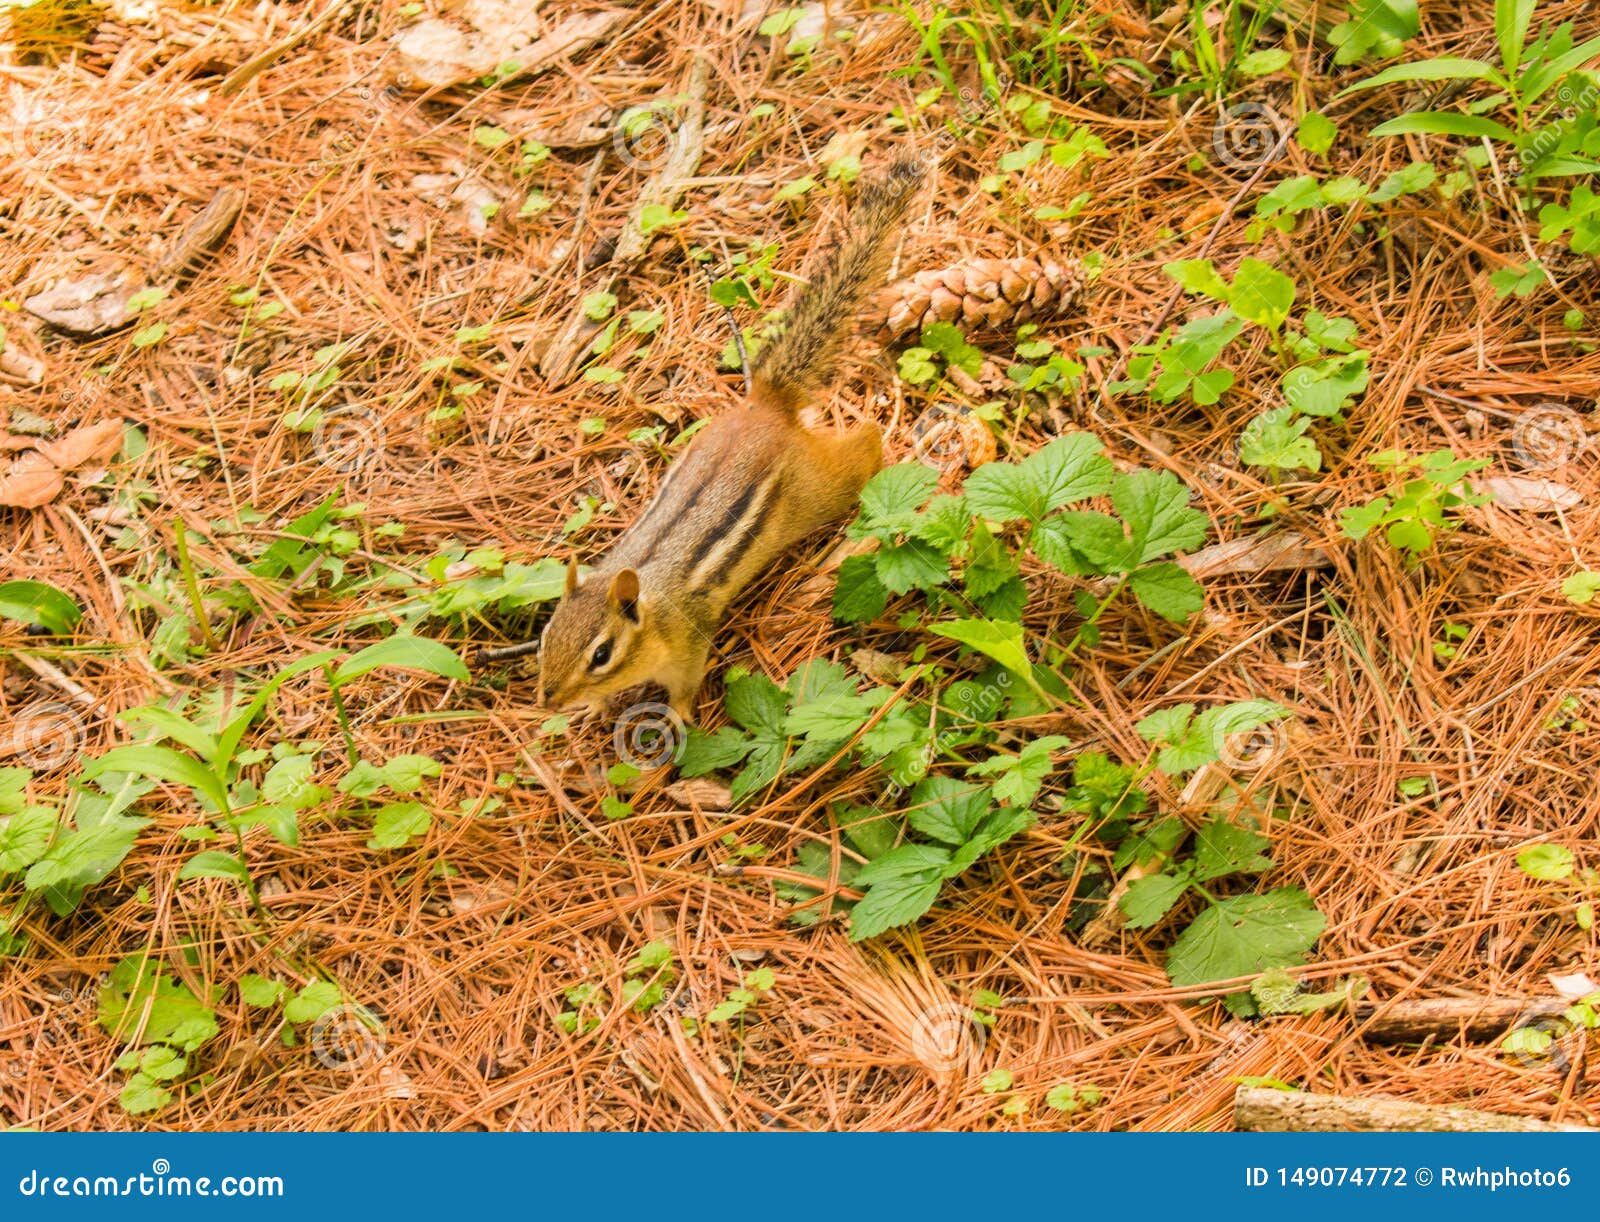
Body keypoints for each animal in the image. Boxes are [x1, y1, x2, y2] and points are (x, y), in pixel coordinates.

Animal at [537, 156, 925, 719]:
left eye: (602, 654)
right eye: (546, 634)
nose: (547, 699)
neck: (651, 607)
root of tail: (765, 404)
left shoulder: (689, 642)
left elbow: (685, 684)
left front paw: (678, 716)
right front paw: (592, 709)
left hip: (818, 491)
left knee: (862, 450)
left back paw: (882, 445)